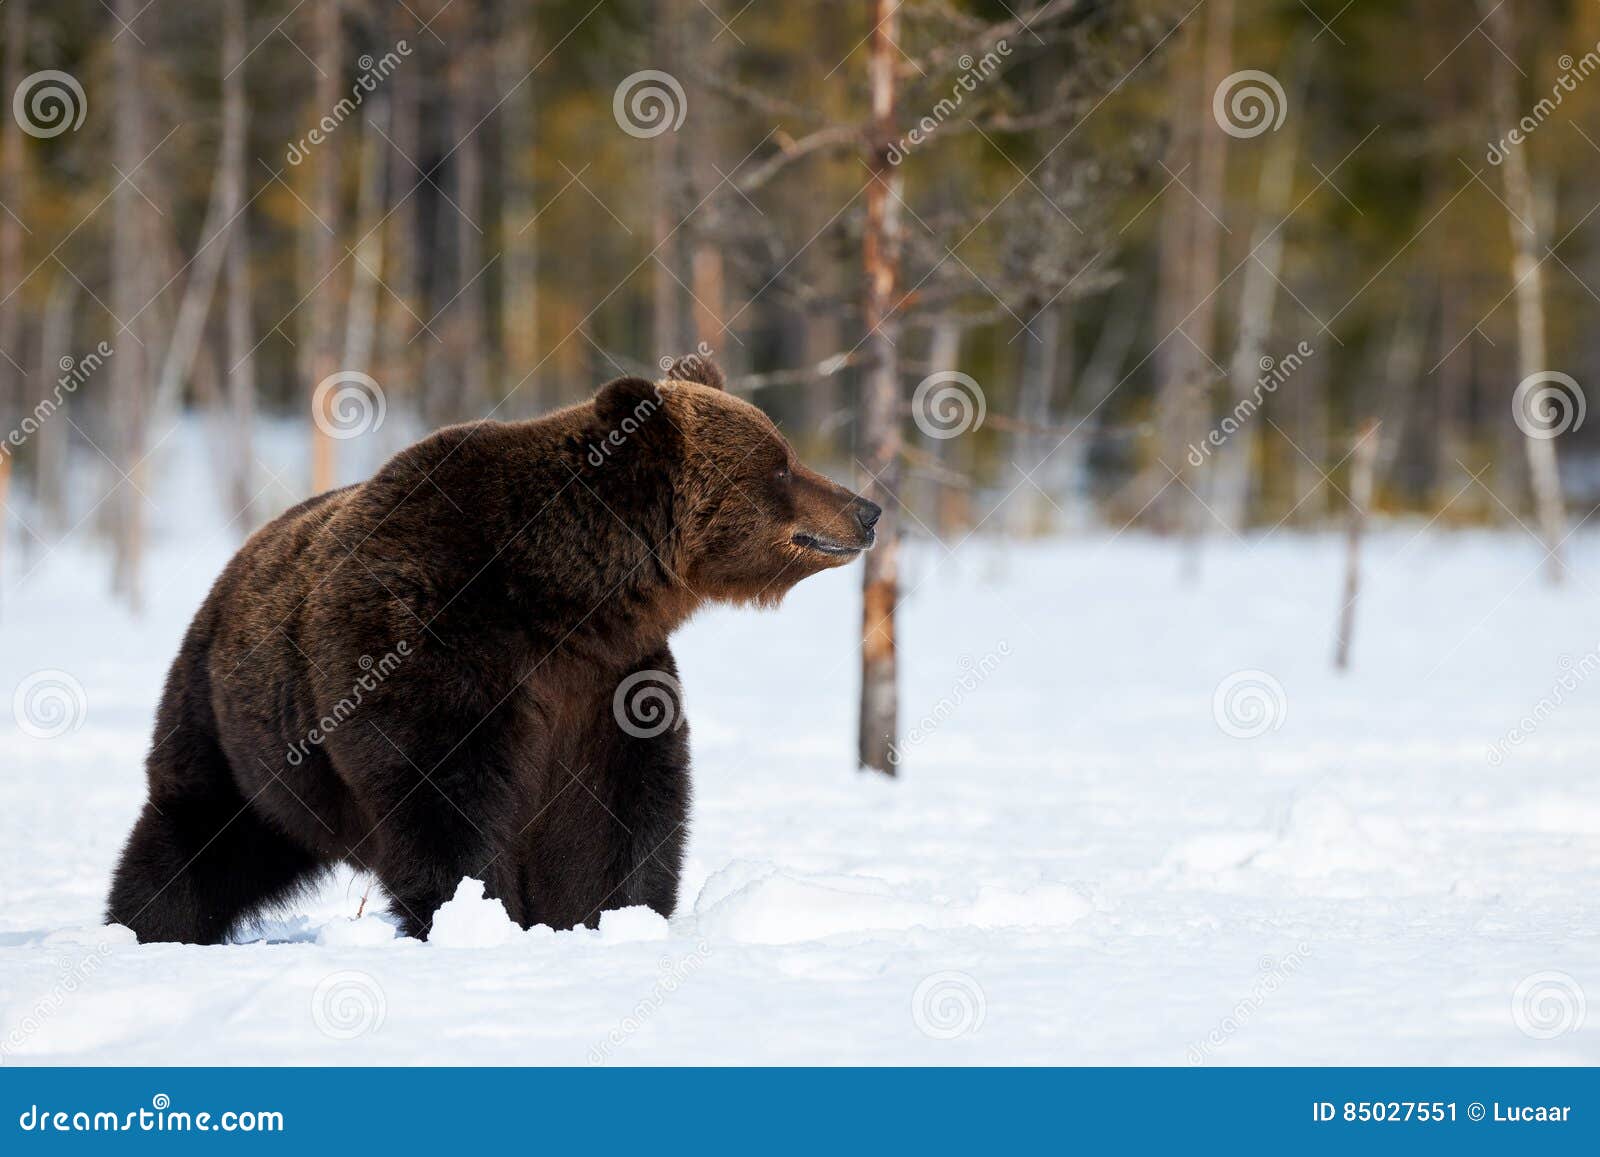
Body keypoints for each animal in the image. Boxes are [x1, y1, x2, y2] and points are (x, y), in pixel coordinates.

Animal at [105, 356, 880, 943]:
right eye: (779, 465)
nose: (866, 509)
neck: (562, 599)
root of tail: (238, 559)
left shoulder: (605, 686)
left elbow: (612, 817)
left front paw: (605, 916)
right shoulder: (431, 645)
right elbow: (446, 802)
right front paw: (473, 915)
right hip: (231, 720)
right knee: (192, 833)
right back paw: (147, 926)